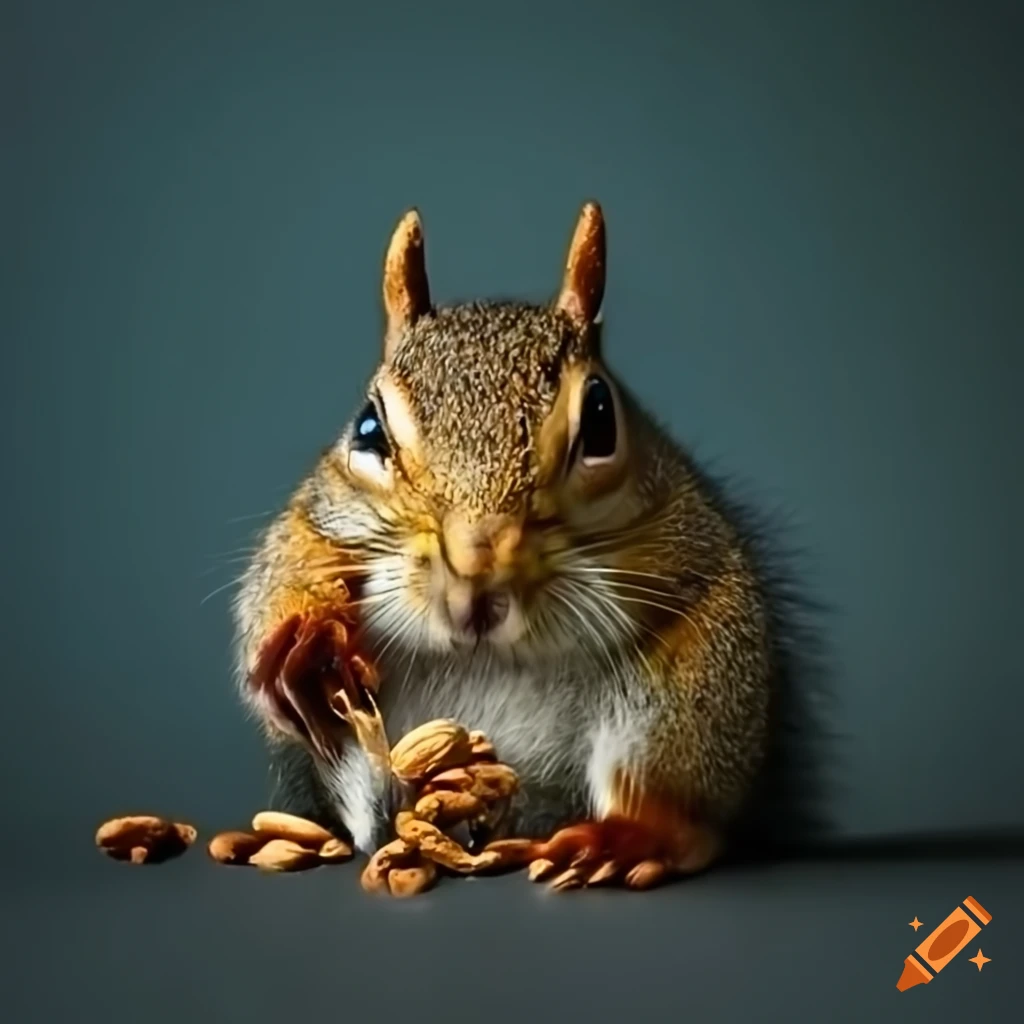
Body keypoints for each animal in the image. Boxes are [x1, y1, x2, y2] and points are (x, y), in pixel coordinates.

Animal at [231, 202, 773, 889]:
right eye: (368, 430)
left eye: (602, 419)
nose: (474, 577)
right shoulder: (321, 506)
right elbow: (285, 558)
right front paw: (302, 637)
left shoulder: (695, 550)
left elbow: (709, 633)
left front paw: (643, 832)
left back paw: (619, 840)